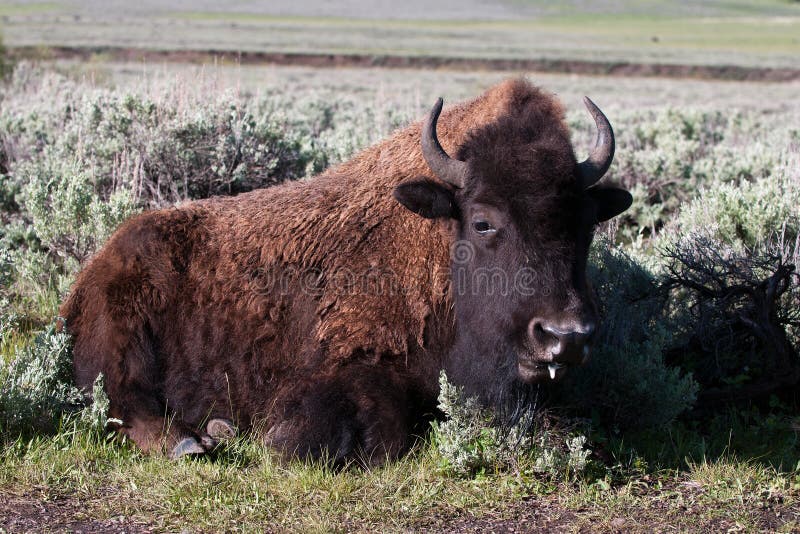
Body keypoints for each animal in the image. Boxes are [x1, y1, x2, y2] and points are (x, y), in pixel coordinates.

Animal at [60, 79, 632, 462]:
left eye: (587, 223)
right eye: (484, 221)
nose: (565, 335)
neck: (436, 239)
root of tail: (93, 270)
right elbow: (376, 431)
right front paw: (276, 439)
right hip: (125, 339)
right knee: (124, 401)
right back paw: (190, 442)